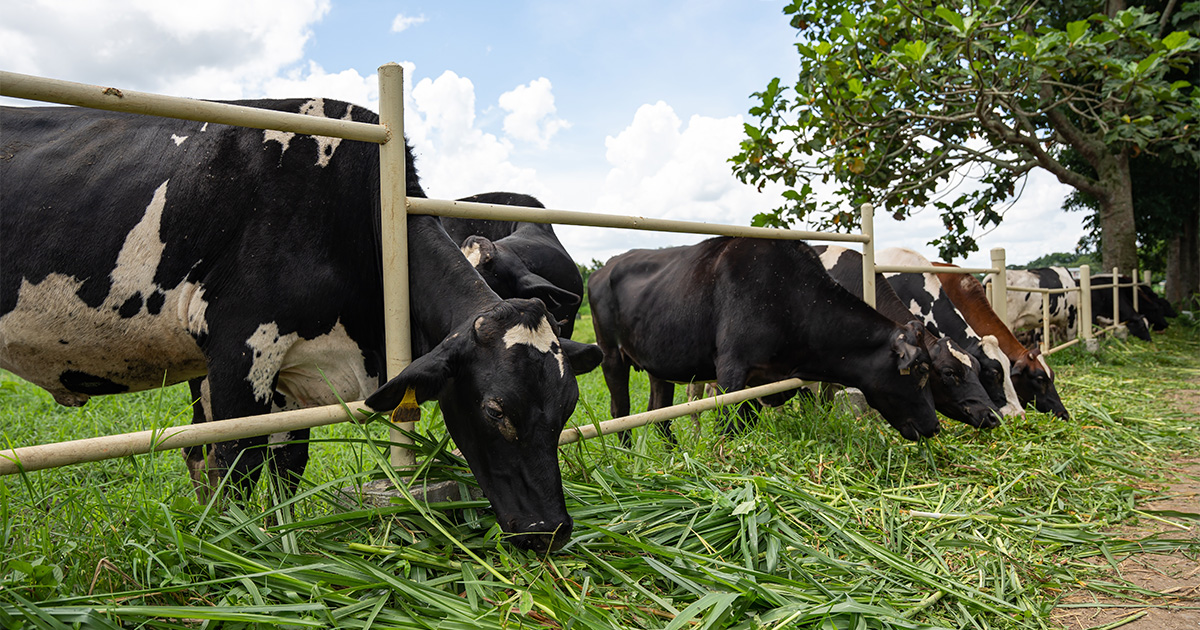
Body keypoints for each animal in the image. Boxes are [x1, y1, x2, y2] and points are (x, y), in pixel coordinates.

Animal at [588, 237, 942, 442]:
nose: (935, 427)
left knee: (658, 414)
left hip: (658, 365)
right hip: (610, 355)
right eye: (922, 372)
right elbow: (729, 428)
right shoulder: (731, 370)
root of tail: (604, 267)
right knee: (620, 411)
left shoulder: (762, 382)